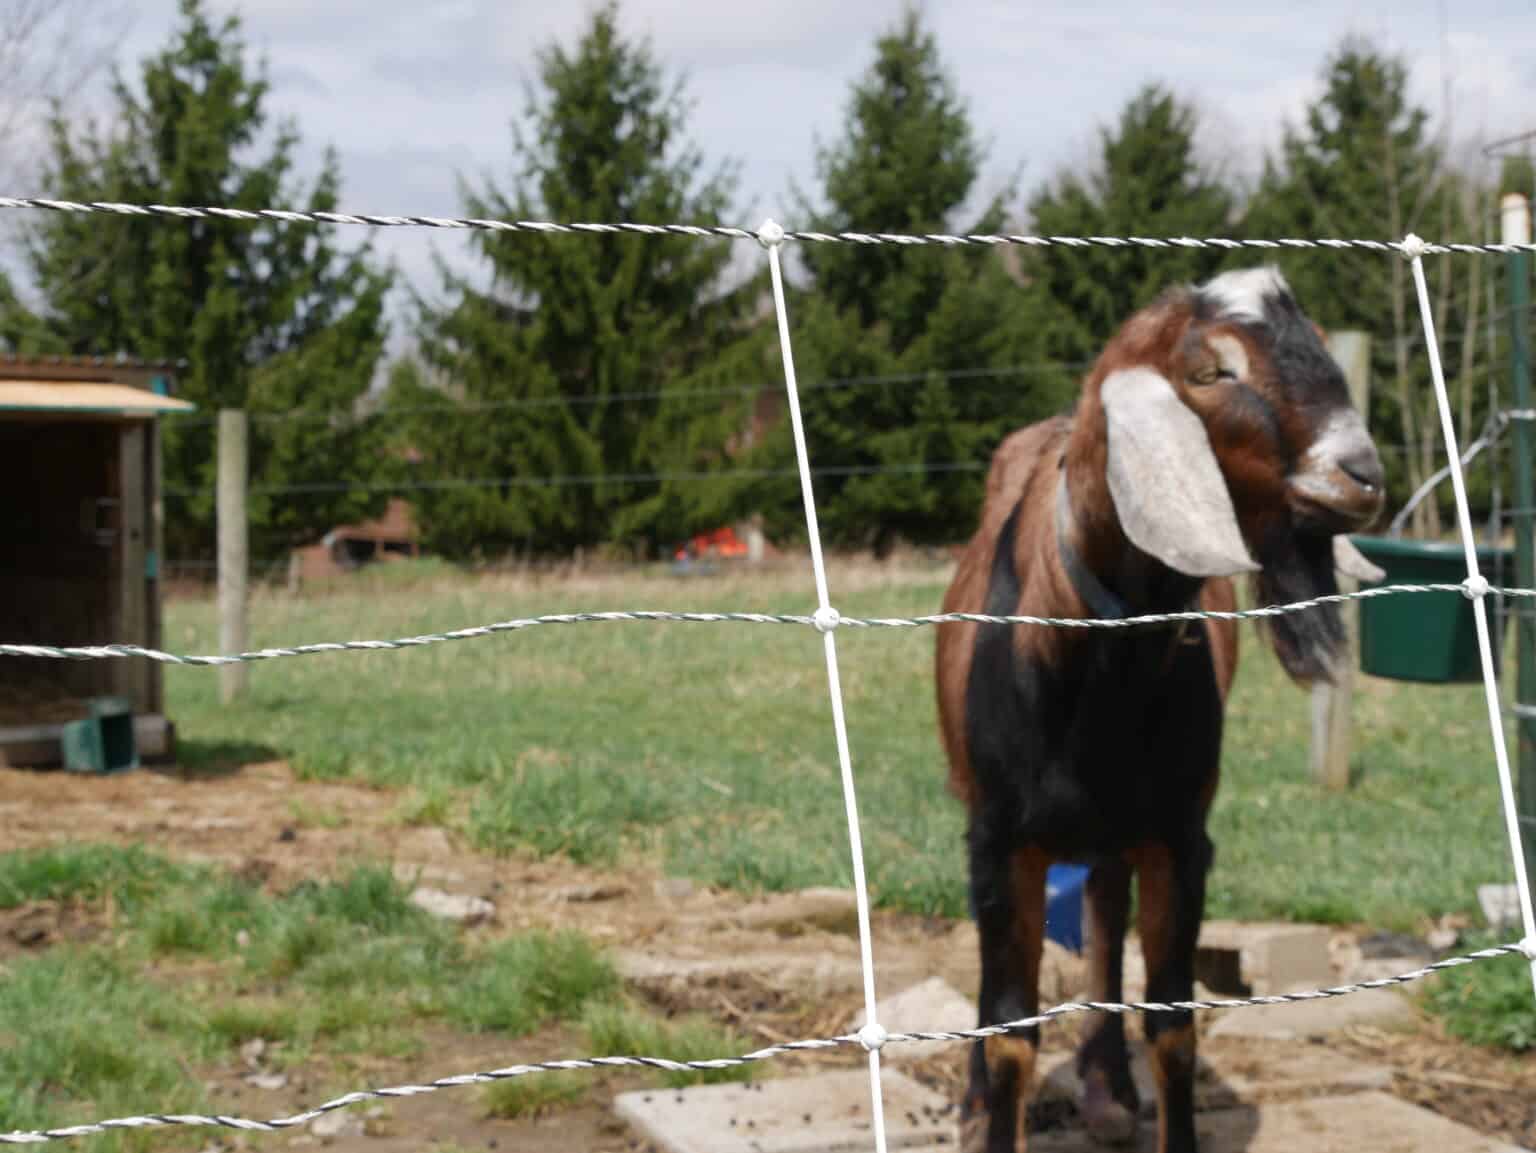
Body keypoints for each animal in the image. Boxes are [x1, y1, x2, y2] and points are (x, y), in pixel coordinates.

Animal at [934, 266, 1385, 1153]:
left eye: (1319, 344)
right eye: (1214, 371)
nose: (1362, 473)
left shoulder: (1180, 833)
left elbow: (1174, 1024)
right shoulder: (1001, 837)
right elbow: (1009, 1031)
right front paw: (983, 1104)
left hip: (1118, 833)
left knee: (1107, 917)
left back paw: (1109, 1088)